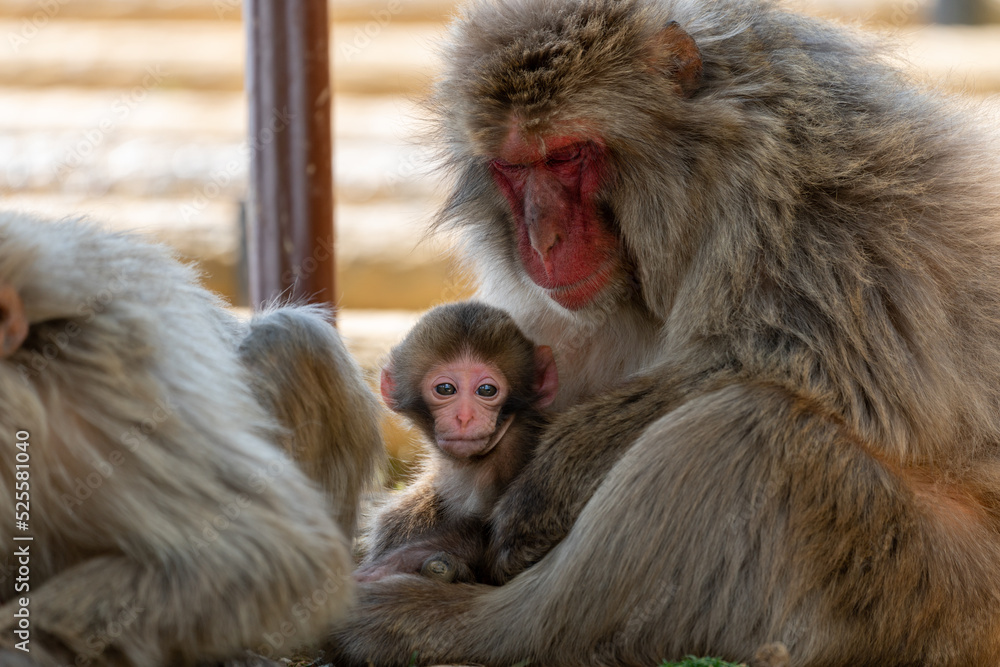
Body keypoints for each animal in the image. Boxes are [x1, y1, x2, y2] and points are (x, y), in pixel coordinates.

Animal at [355, 300, 558, 584]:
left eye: (487, 390)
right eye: (446, 389)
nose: (464, 417)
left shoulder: (516, 447)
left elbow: (502, 549)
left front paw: (398, 561)